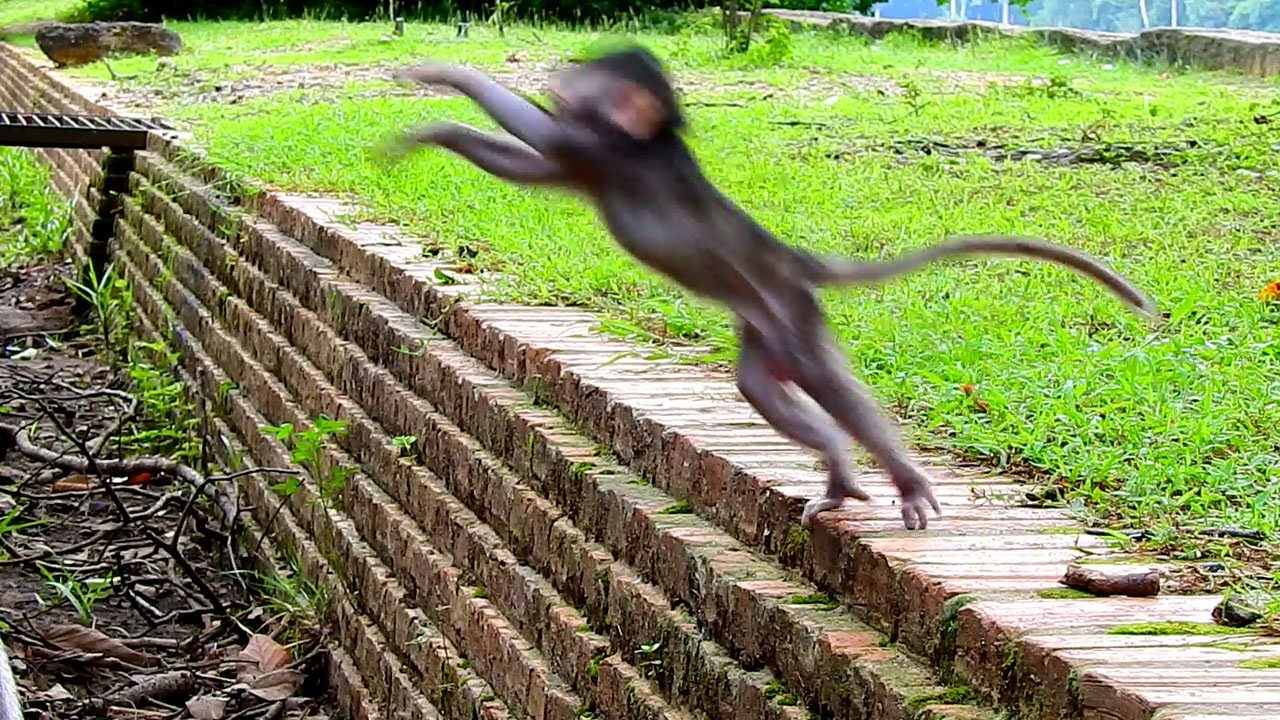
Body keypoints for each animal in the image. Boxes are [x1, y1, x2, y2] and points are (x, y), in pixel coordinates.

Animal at [377, 45, 1158, 531]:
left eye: (589, 78)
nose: (562, 78)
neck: (640, 135)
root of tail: (793, 259)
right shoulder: (597, 152)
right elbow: (530, 165)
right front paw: (431, 127)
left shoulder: (603, 143)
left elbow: (537, 138)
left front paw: (443, 79)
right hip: (764, 323)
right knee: (761, 383)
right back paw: (839, 474)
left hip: (789, 311)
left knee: (821, 379)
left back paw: (898, 477)